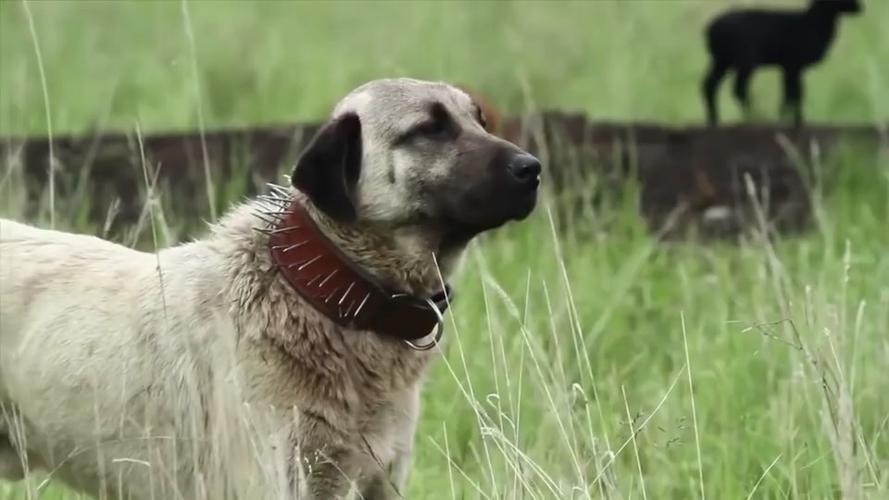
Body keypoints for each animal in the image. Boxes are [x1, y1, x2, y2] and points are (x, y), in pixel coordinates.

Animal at [701, 0, 862, 126]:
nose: (860, 8)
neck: (812, 24)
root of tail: (710, 29)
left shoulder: (789, 66)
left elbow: (792, 93)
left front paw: (790, 119)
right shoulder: (793, 63)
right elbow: (794, 94)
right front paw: (793, 120)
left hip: (721, 60)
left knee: (709, 85)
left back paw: (714, 120)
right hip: (745, 59)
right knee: (738, 89)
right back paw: (756, 116)